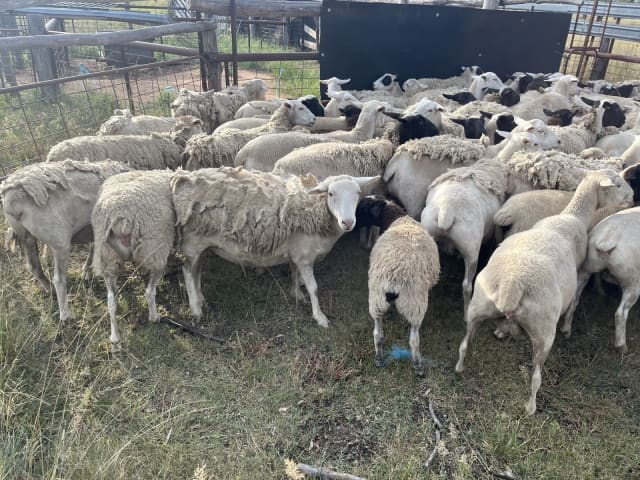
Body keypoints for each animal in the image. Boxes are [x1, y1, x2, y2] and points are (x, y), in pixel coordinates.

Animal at [1, 160, 132, 322]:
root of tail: (12, 196)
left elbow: (93, 248)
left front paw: (87, 271)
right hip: (59, 241)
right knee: (59, 279)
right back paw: (65, 315)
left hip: (26, 236)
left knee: (34, 266)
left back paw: (49, 289)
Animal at [92, 169, 176, 352]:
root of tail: (121, 215)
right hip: (154, 250)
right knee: (149, 291)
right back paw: (154, 317)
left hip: (107, 256)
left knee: (111, 300)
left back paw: (115, 339)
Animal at [171, 167, 380, 326]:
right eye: (331, 194)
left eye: (357, 194)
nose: (348, 222)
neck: (314, 210)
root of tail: (181, 180)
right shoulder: (305, 257)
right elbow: (313, 287)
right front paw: (320, 317)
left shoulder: (296, 253)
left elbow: (295, 274)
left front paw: (297, 295)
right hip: (192, 243)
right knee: (188, 273)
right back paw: (196, 310)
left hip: (201, 245)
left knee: (196, 271)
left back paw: (201, 300)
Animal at [361, 198, 440, 375]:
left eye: (364, 207)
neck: (397, 218)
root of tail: (393, 279)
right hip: (415, 304)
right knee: (414, 339)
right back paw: (418, 365)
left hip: (376, 301)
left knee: (377, 333)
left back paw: (379, 358)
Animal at [455, 170, 633, 415]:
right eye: (617, 184)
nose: (633, 197)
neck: (572, 216)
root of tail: (512, 286)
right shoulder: (580, 271)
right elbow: (574, 301)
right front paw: (568, 328)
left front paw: (501, 331)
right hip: (543, 330)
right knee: (536, 376)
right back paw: (531, 407)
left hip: (477, 308)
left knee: (464, 344)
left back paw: (460, 368)